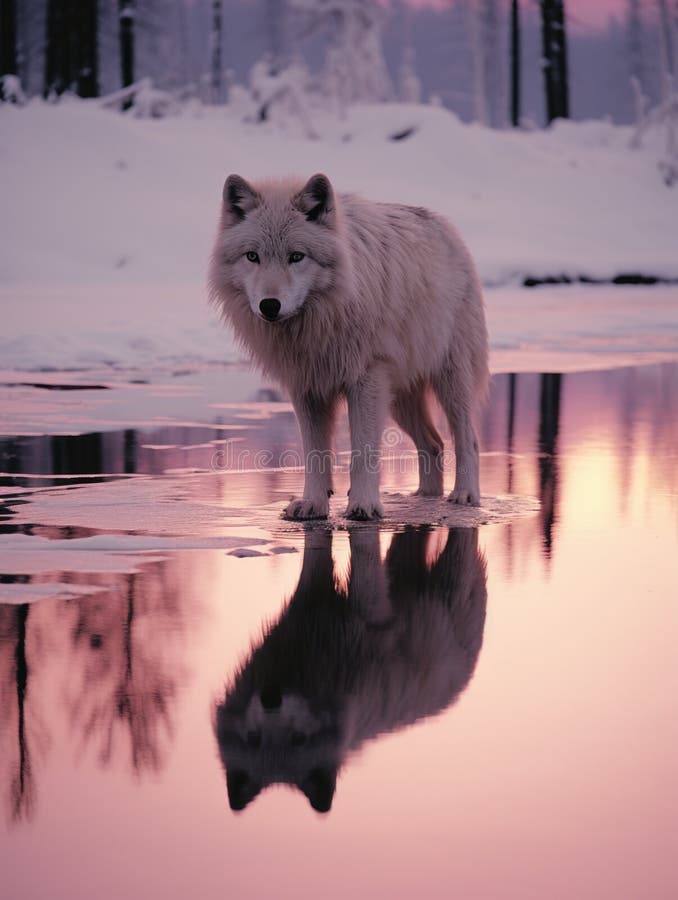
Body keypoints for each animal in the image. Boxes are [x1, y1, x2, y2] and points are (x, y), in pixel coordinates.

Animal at [208, 173, 489, 520]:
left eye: (296, 256)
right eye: (252, 256)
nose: (269, 305)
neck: (316, 322)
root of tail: (443, 223)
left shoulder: (365, 380)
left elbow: (364, 451)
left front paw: (363, 505)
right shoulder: (307, 387)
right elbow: (314, 454)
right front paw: (313, 503)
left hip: (450, 383)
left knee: (468, 439)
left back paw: (464, 495)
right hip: (398, 398)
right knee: (433, 444)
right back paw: (425, 498)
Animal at [214, 526, 487, 813]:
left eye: (299, 738)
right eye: (253, 738)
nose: (270, 699)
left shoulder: (366, 614)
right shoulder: (308, 600)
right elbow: (313, 562)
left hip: (452, 574)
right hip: (403, 560)